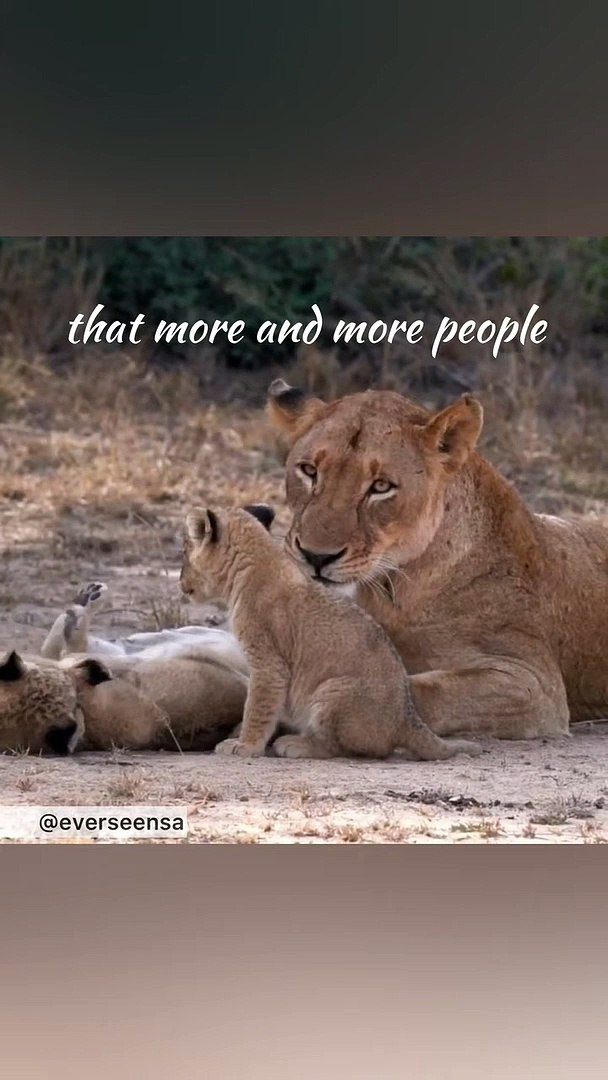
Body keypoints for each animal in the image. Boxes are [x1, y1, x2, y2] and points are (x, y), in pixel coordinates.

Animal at [181, 502, 479, 761]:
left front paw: (244, 746)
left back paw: (296, 745)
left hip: (331, 691)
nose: (180, 582)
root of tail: (406, 719)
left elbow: (257, 707)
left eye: (185, 555)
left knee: (344, 748)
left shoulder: (269, 664)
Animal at [266, 378, 608, 740]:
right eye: (309, 471)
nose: (316, 556)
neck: (390, 589)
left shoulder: (534, 683)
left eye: (381, 486)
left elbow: (415, 691)